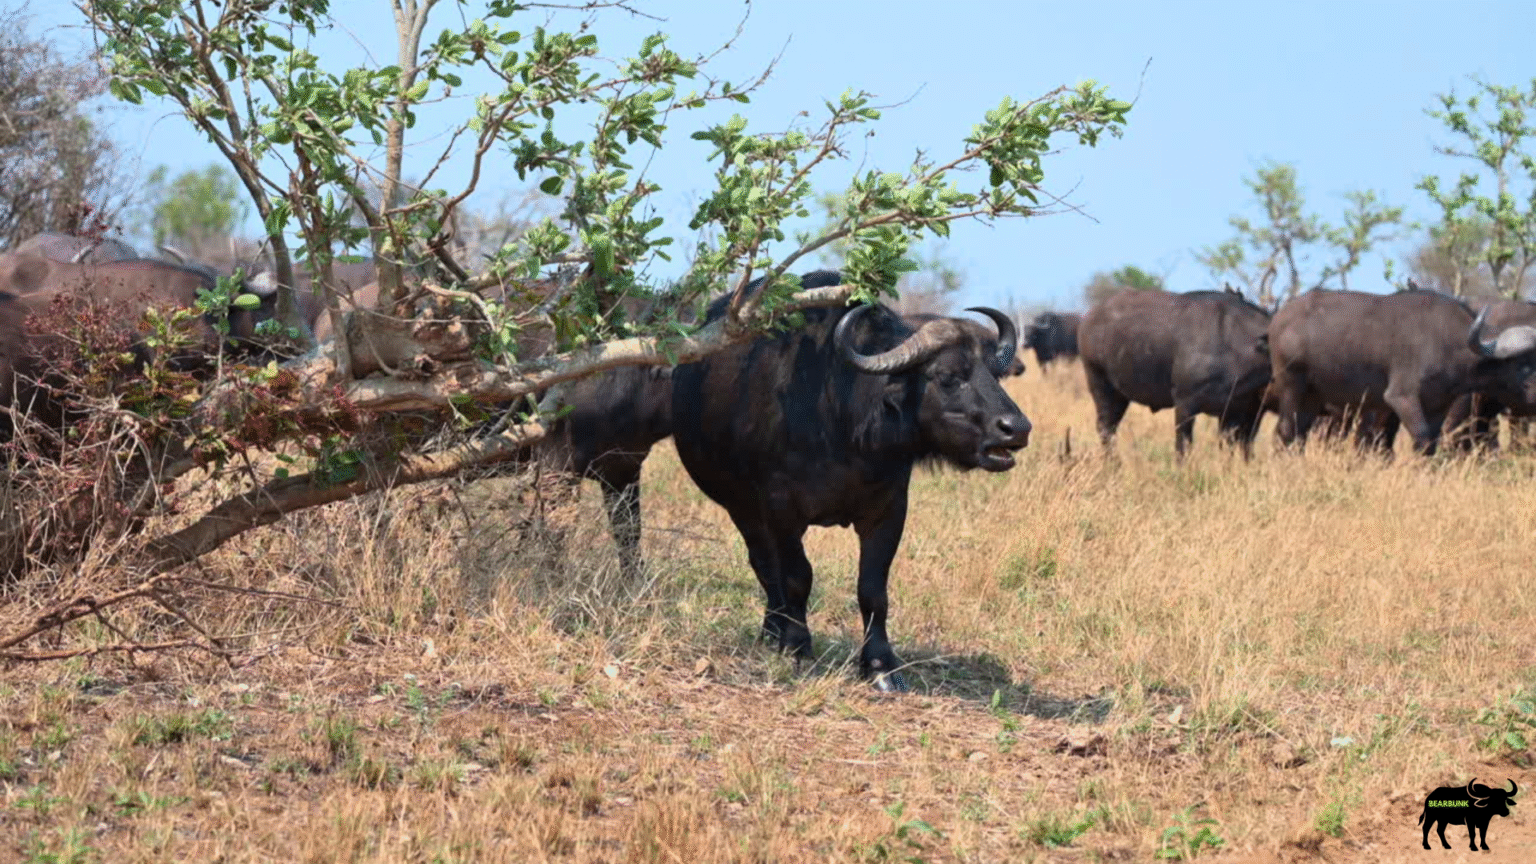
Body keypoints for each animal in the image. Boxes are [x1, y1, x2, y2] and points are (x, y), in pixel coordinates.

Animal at [670, 270, 1029, 691]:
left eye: (995, 374)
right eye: (947, 376)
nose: (1016, 428)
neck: (842, 425)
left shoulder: (889, 511)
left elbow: (873, 589)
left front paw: (880, 666)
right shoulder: (780, 509)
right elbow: (796, 577)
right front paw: (797, 647)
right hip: (740, 507)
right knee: (764, 565)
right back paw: (774, 630)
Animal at [1077, 289, 1272, 459]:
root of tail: (1089, 319)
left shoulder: (1233, 413)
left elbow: (1230, 450)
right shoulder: (1185, 405)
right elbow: (1183, 447)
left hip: (1120, 397)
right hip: (1102, 388)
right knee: (1105, 429)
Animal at [1268, 289, 1536, 455]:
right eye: (1521, 365)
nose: (1534, 396)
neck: (1447, 341)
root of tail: (1280, 317)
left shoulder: (1438, 407)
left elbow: (1431, 444)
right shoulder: (1401, 398)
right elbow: (1422, 439)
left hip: (1314, 396)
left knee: (1299, 433)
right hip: (1292, 385)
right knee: (1286, 430)